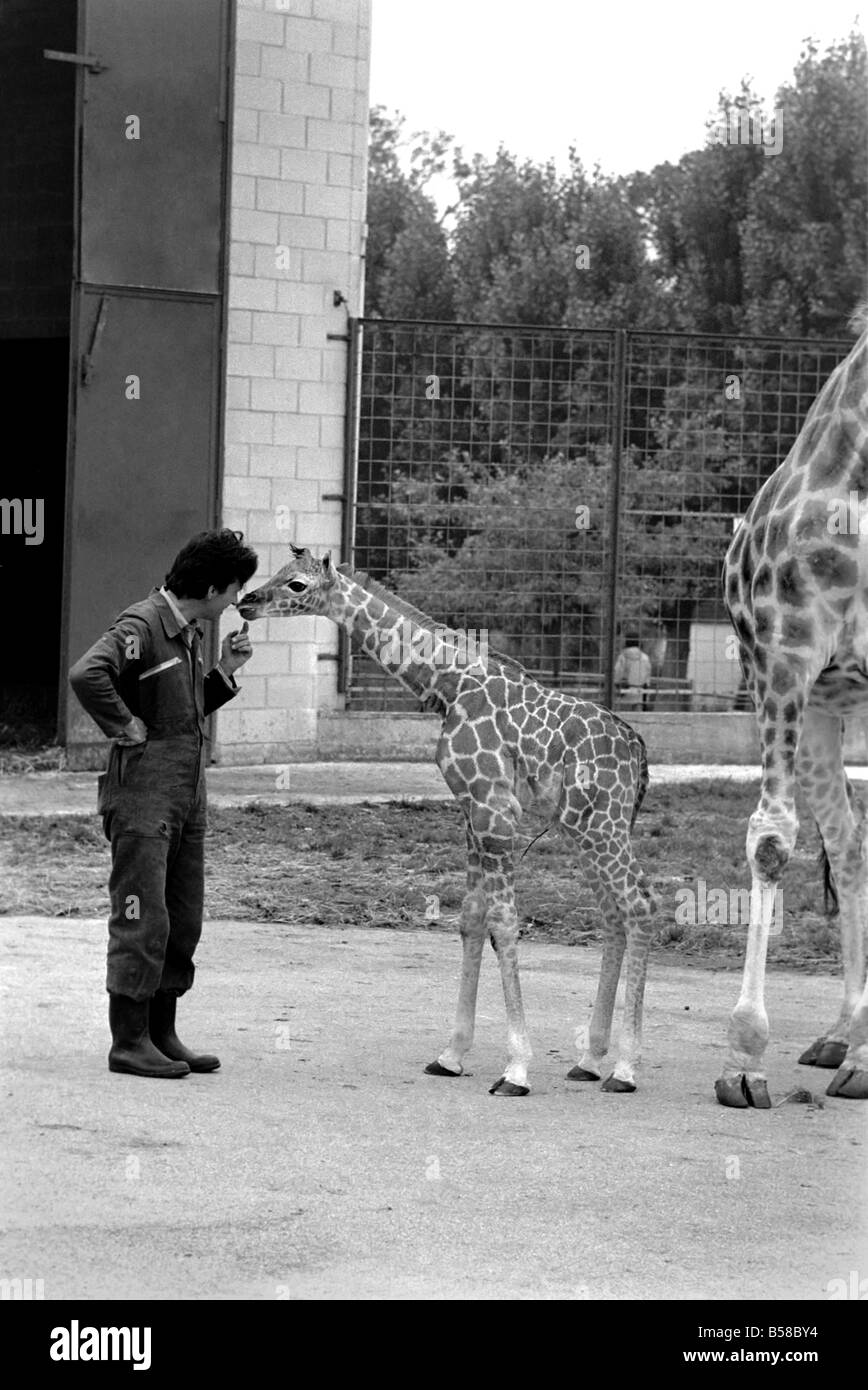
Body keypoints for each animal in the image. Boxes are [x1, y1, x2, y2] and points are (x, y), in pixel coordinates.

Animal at [238, 549, 657, 1096]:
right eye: (274, 574)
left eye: (296, 584)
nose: (246, 602)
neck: (449, 685)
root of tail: (637, 749)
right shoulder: (470, 812)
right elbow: (471, 920)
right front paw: (452, 1055)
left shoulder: (494, 809)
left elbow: (504, 922)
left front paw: (515, 1069)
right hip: (582, 826)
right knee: (613, 914)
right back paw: (589, 1059)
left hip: (601, 822)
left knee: (640, 904)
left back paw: (625, 1069)